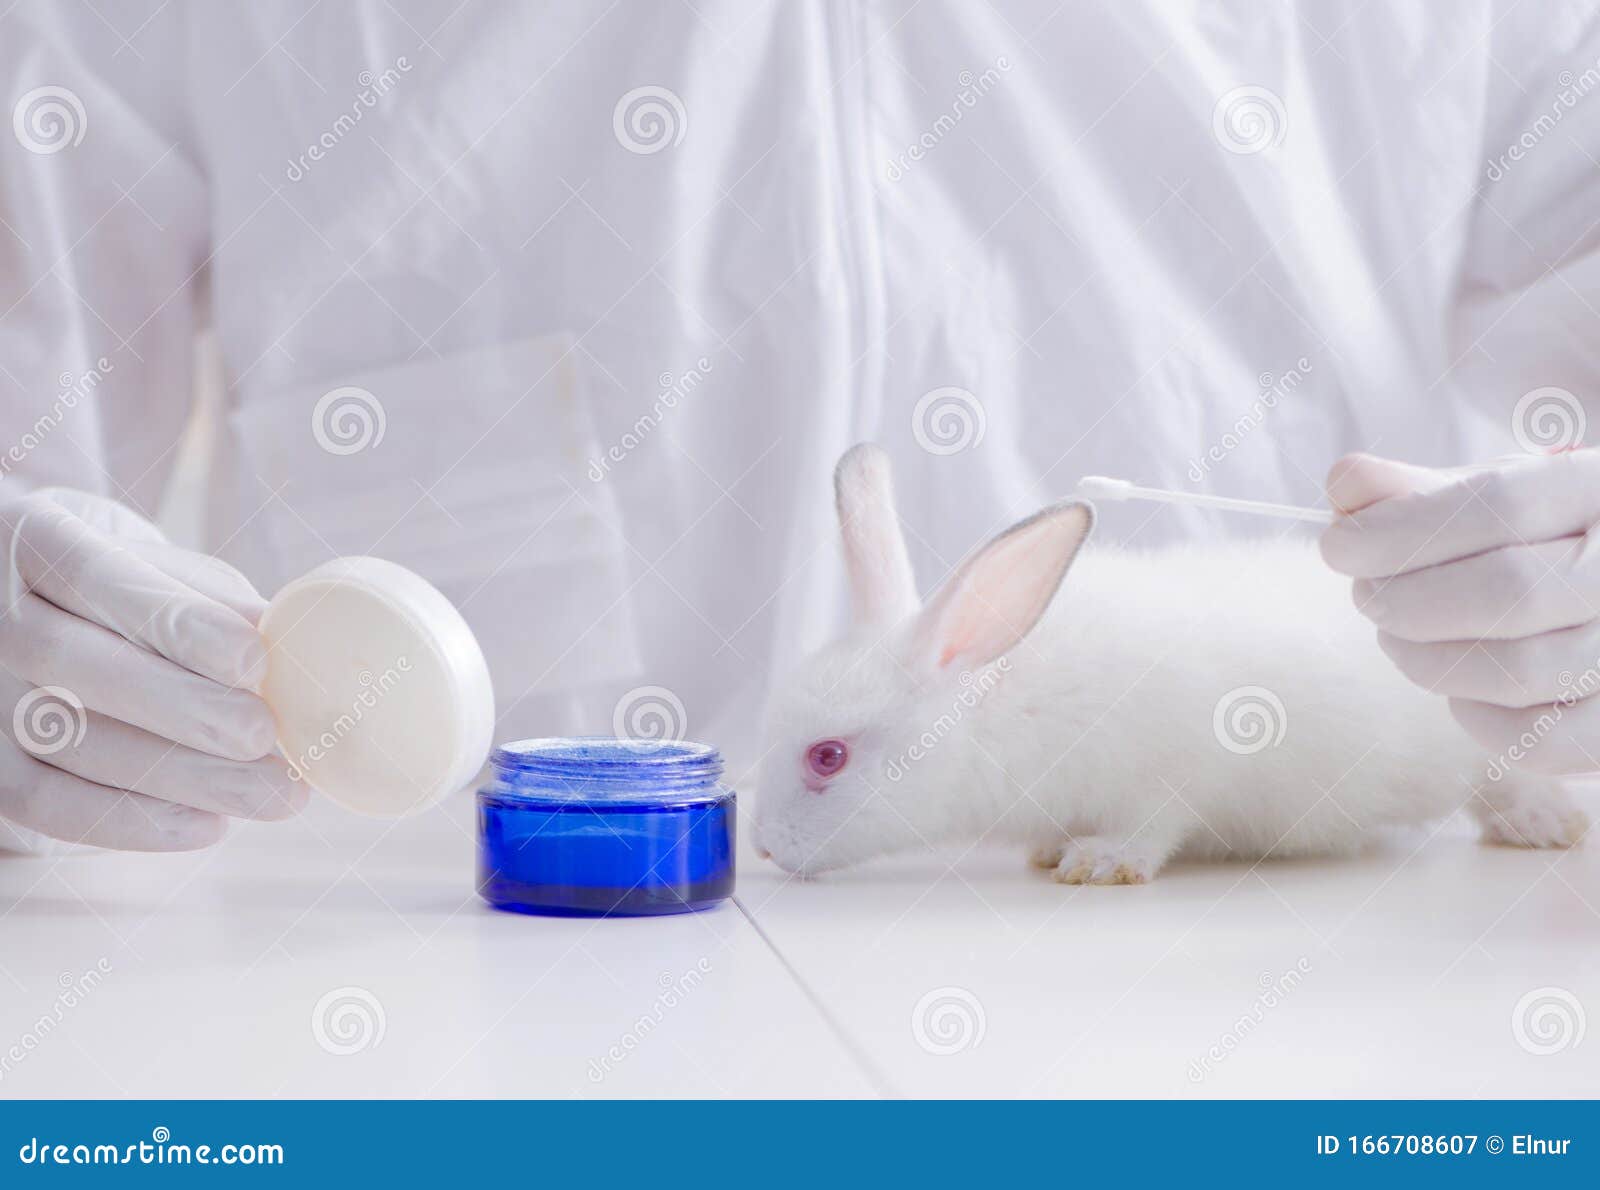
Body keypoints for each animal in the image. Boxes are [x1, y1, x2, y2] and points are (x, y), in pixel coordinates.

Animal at [750, 443, 1589, 884]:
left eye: (828, 757)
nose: (761, 846)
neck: (1001, 710)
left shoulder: (1162, 777)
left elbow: (1150, 827)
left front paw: (1095, 864)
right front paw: (1050, 850)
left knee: (1499, 778)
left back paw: (1547, 822)